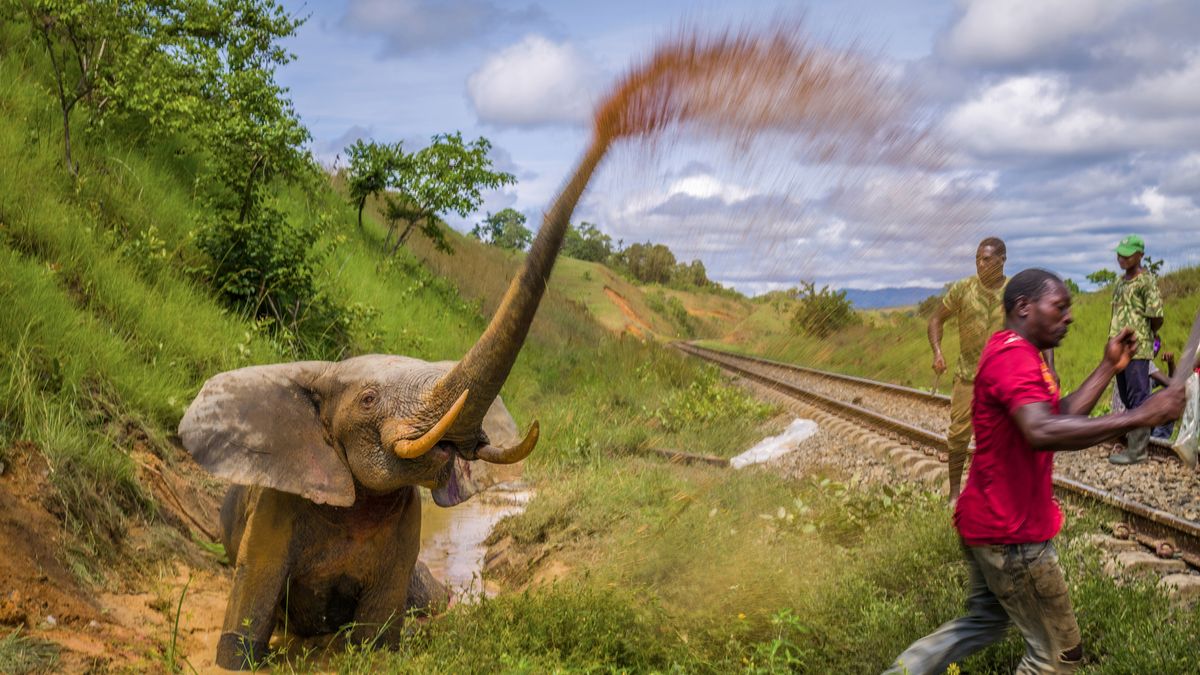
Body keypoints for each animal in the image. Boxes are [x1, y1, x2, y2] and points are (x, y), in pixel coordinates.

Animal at [178, 137, 610, 670]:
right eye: (367, 399)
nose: (609, 129)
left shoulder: (406, 522)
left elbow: (379, 632)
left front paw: (374, 652)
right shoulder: (276, 504)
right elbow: (254, 589)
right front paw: (235, 660)